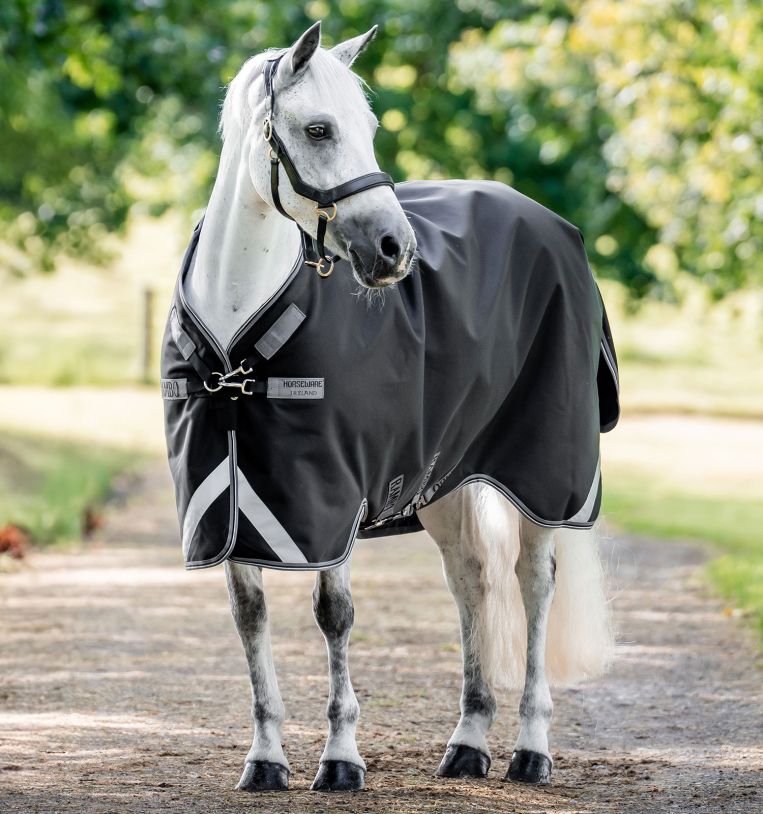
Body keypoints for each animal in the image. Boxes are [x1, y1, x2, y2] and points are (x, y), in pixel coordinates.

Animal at [162, 21, 617, 793]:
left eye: (369, 128)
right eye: (318, 128)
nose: (393, 250)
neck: (238, 337)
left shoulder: (331, 501)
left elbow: (334, 615)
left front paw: (341, 758)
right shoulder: (229, 509)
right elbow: (250, 616)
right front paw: (266, 758)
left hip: (542, 476)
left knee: (531, 585)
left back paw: (530, 749)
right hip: (447, 482)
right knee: (471, 581)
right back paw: (467, 743)